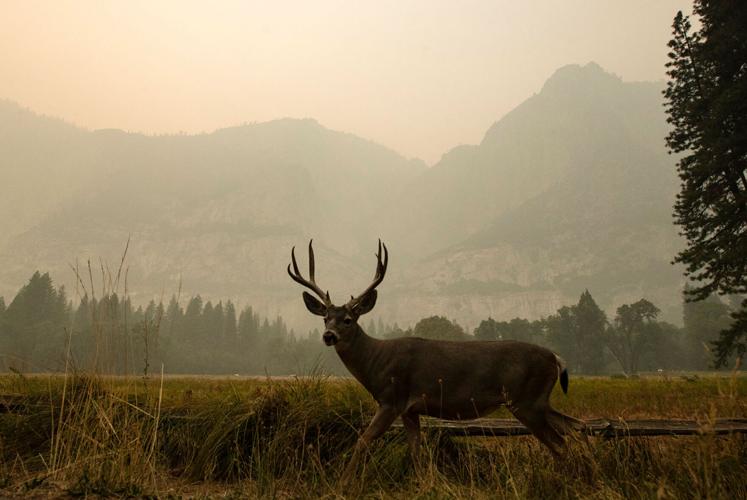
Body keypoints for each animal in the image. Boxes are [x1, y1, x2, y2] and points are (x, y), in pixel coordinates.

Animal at [288, 240, 583, 477]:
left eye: (348, 319)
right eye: (325, 318)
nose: (328, 335)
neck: (376, 362)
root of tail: (556, 358)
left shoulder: (391, 399)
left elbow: (362, 442)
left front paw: (343, 482)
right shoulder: (410, 409)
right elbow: (416, 451)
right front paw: (421, 482)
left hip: (525, 400)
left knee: (560, 442)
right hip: (538, 401)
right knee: (575, 428)